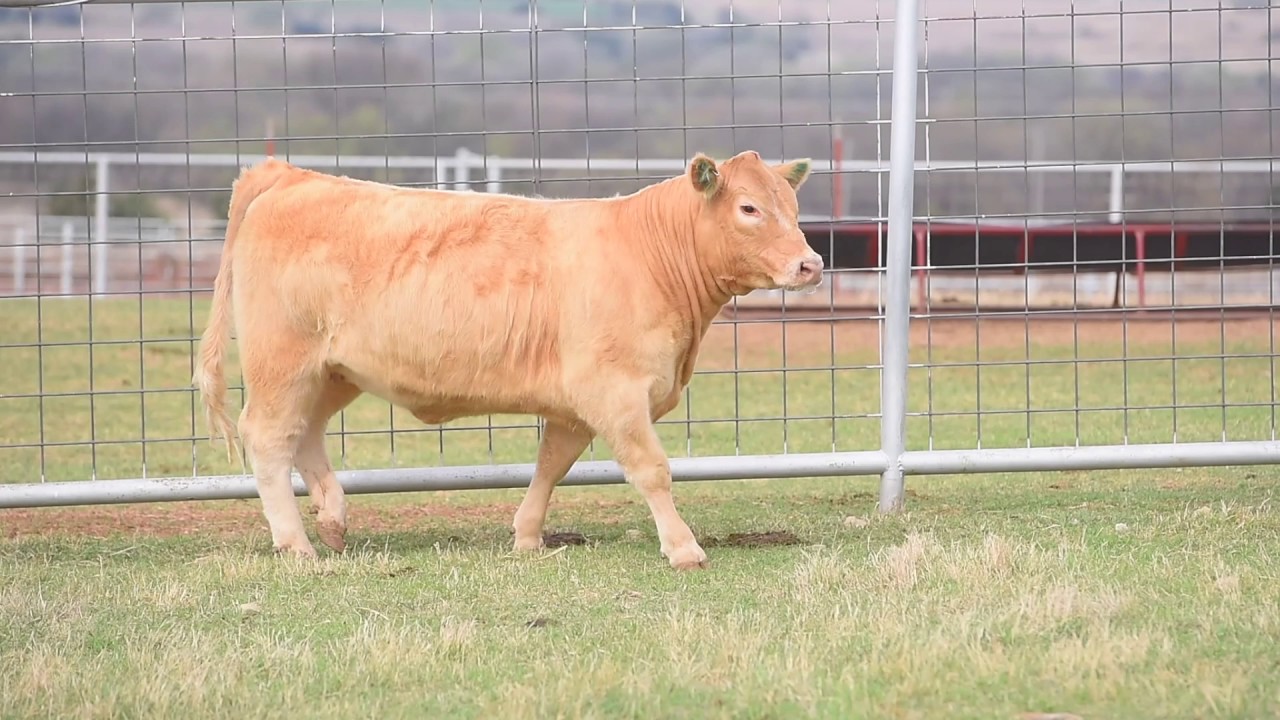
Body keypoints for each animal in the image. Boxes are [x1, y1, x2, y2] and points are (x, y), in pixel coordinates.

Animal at [192, 149, 823, 570]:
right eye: (748, 208)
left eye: (793, 206)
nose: (811, 264)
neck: (648, 253)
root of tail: (290, 175)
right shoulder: (614, 392)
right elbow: (652, 469)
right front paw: (684, 548)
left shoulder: (574, 404)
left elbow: (550, 465)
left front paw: (527, 536)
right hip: (284, 361)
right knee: (270, 437)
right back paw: (296, 543)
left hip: (330, 371)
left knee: (306, 432)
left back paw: (332, 519)